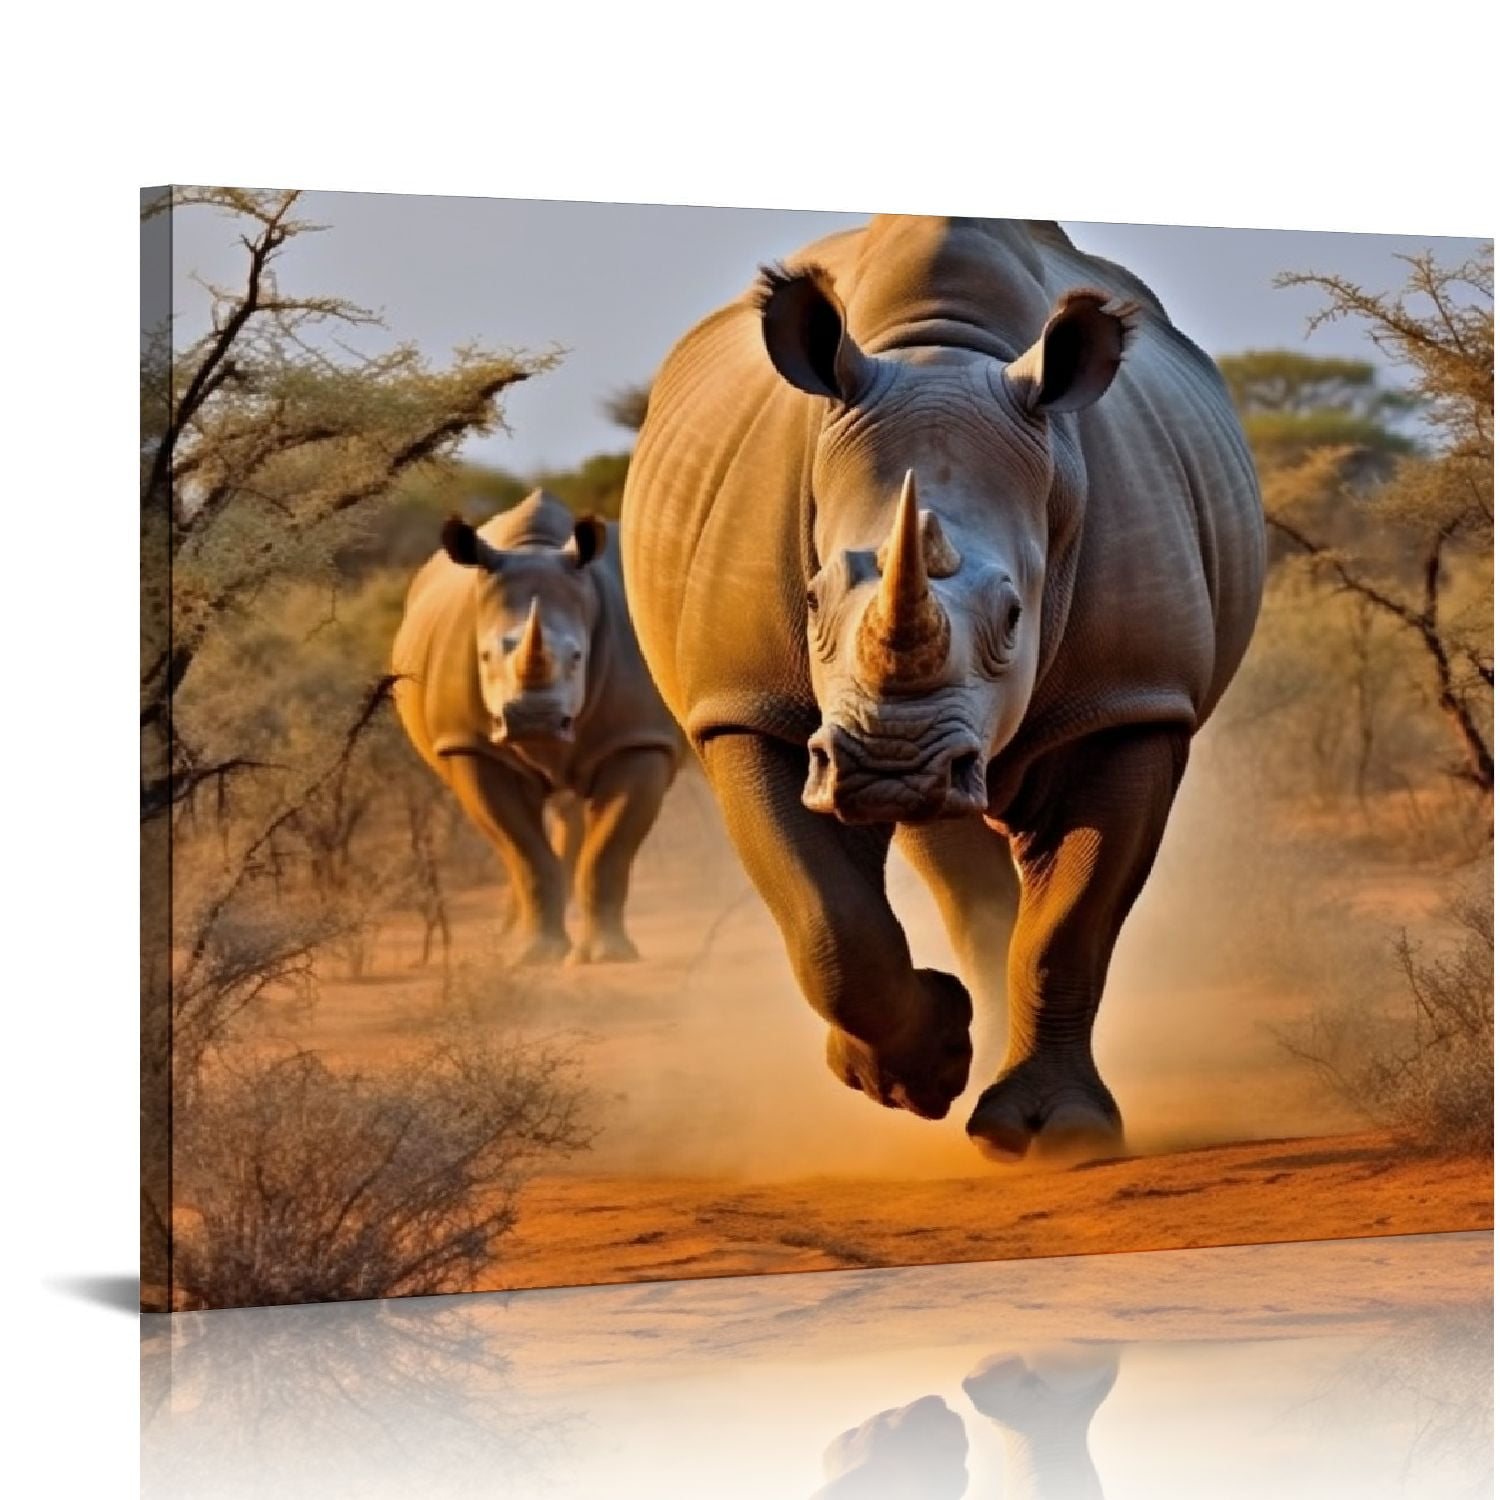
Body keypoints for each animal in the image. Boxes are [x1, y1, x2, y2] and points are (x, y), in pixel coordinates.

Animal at [393, 490, 683, 964]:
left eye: (579, 657)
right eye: (485, 656)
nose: (534, 719)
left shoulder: (638, 739)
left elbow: (609, 850)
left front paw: (607, 956)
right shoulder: (472, 747)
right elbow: (525, 853)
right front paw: (534, 956)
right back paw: (506, 941)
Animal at [622, 217, 1264, 1158]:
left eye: (1014, 615)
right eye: (811, 600)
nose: (892, 765)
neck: (938, 349)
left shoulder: (1130, 701)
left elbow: (1071, 926)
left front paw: (1055, 1133)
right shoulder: (749, 707)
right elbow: (826, 922)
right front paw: (907, 1077)